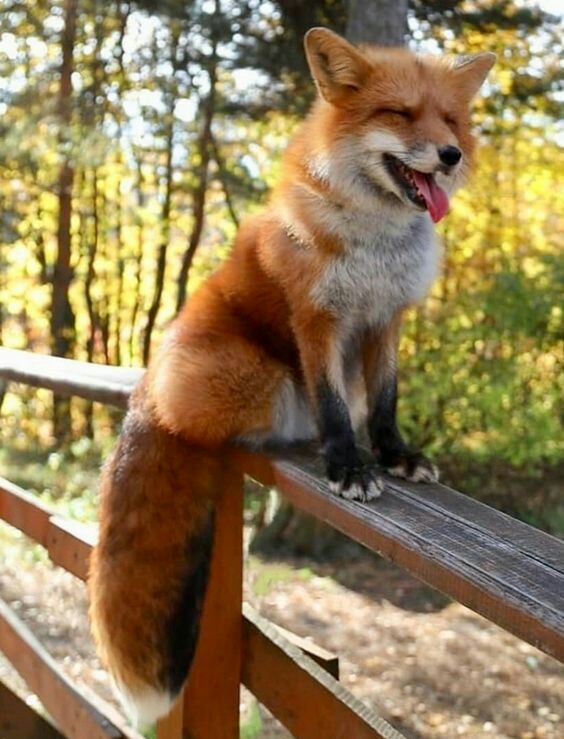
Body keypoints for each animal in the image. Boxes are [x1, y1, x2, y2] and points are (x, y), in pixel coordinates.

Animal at [89, 28, 495, 728]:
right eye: (400, 114)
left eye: (451, 120)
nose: (450, 156)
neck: (376, 244)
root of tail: (151, 390)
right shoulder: (318, 320)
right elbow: (334, 405)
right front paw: (348, 465)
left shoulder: (385, 320)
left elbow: (384, 402)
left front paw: (395, 456)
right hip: (260, 377)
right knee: (223, 425)